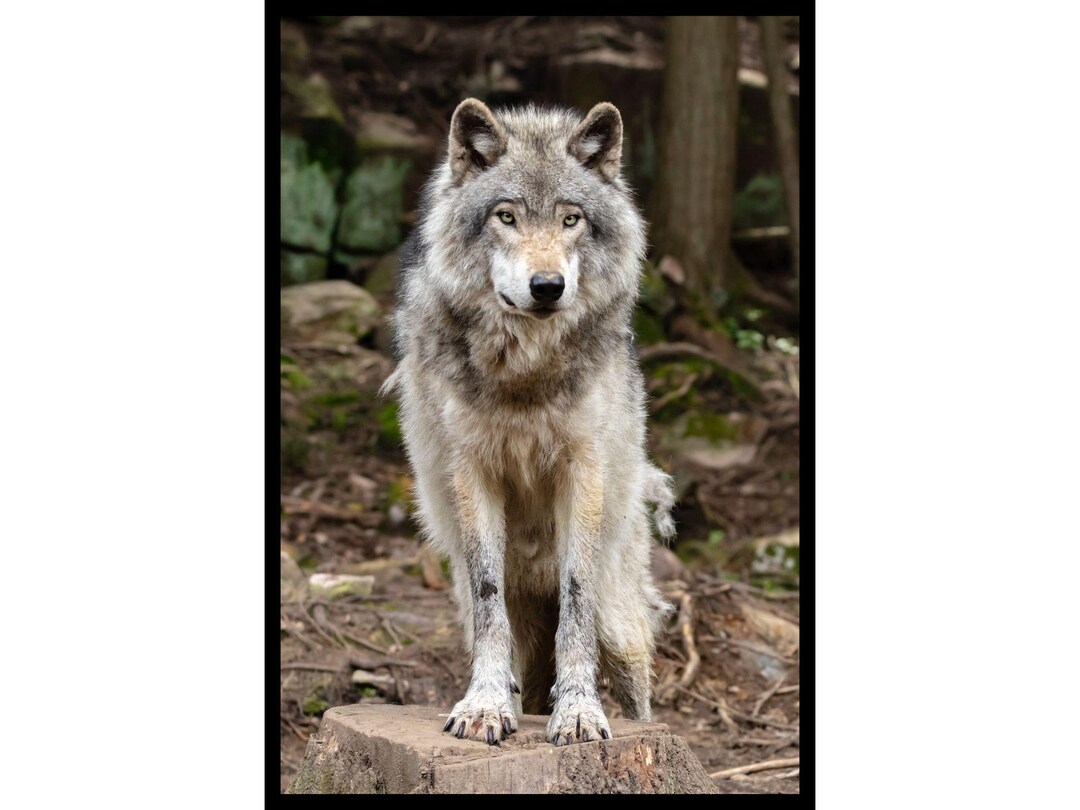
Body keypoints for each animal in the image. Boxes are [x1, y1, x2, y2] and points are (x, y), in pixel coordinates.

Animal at [381, 98, 676, 746]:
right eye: (507, 216)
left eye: (571, 219)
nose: (547, 287)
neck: (524, 371)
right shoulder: (473, 473)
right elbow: (490, 601)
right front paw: (485, 707)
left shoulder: (582, 472)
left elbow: (576, 601)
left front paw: (580, 713)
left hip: (621, 623)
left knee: (638, 692)